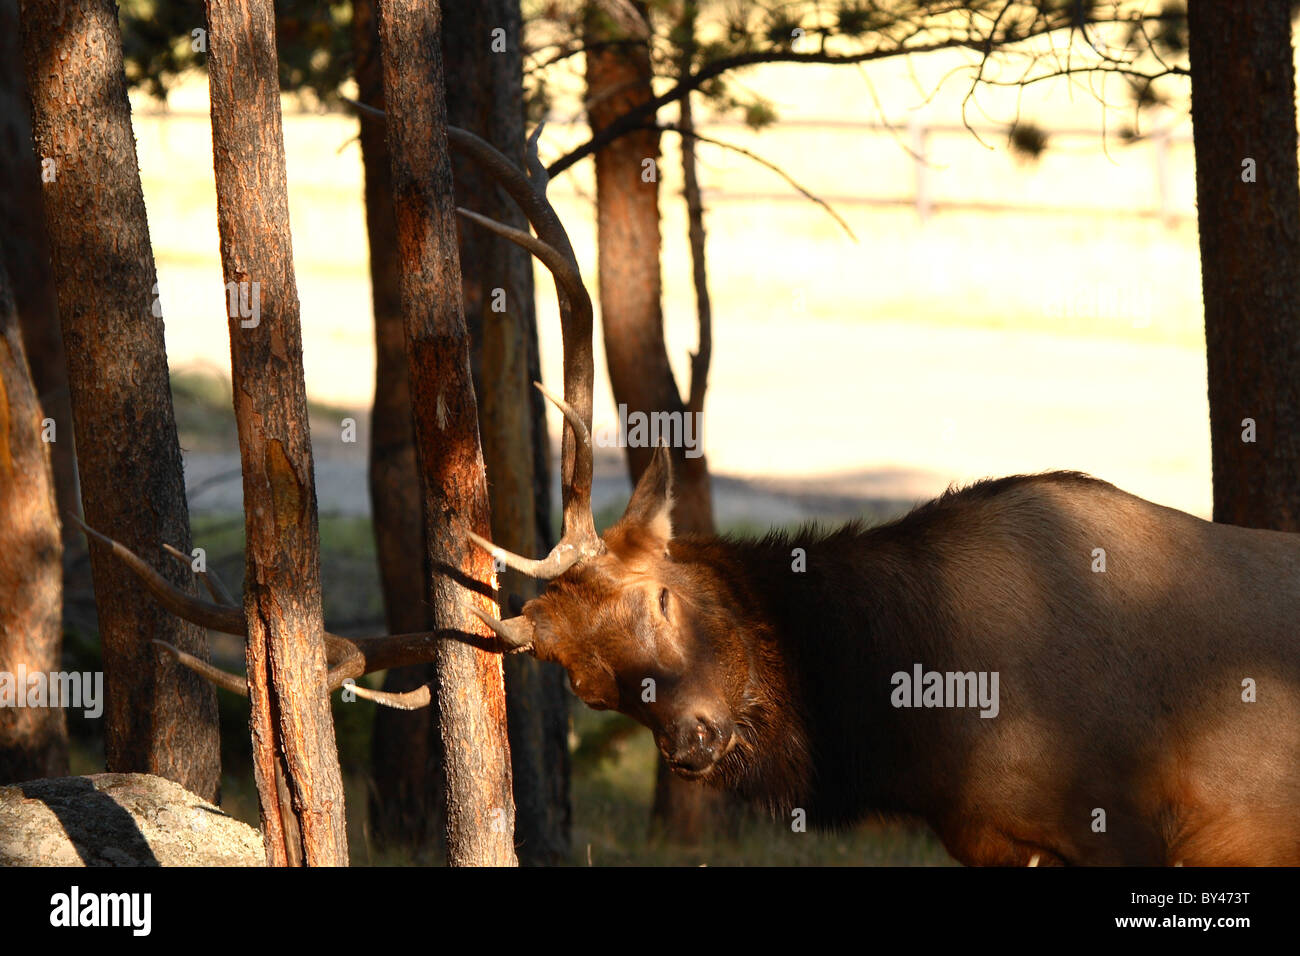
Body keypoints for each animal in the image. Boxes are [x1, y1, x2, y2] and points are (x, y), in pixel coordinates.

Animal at [80, 124, 1300, 867]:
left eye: (662, 600)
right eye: (588, 684)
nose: (696, 744)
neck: (935, 710)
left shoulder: (1136, 819)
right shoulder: (987, 839)